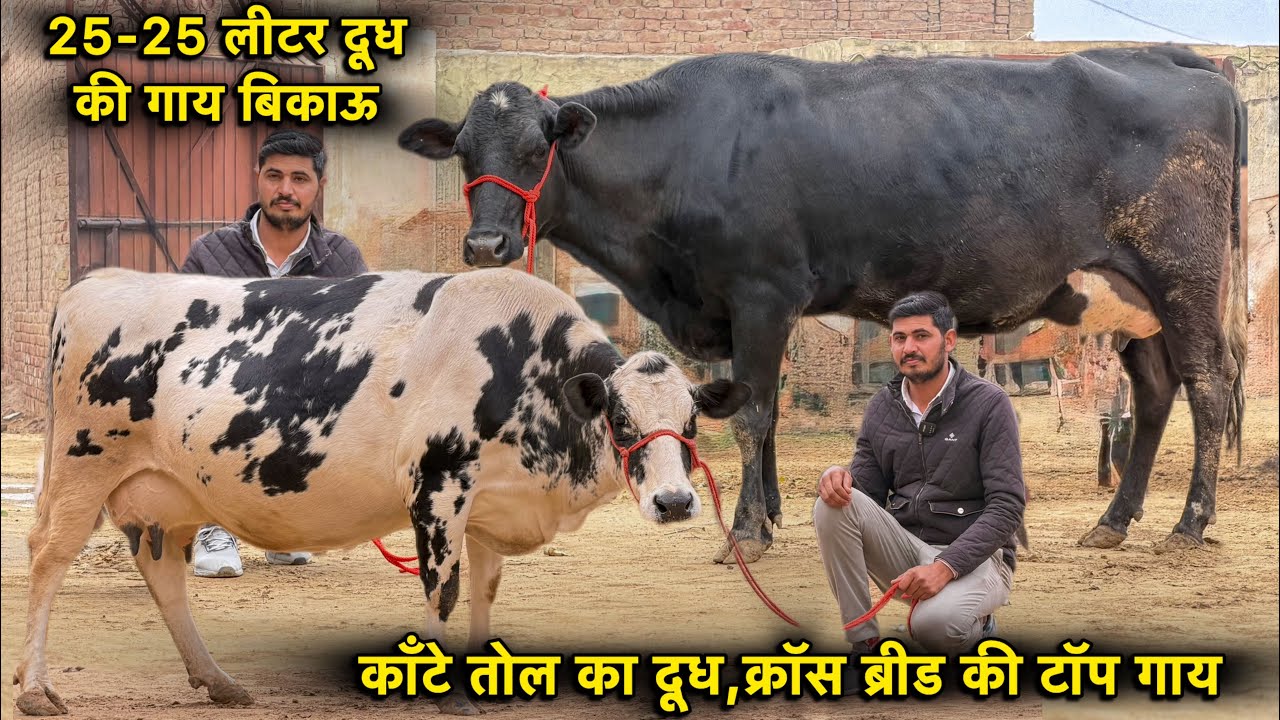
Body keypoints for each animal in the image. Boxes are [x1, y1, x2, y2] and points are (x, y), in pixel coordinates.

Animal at [15, 267, 750, 717]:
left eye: (690, 423)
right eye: (620, 419)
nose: (675, 502)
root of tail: (100, 282)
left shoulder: (488, 509)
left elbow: (483, 595)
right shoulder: (439, 488)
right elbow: (443, 592)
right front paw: (445, 692)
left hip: (166, 497)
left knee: (163, 574)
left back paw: (217, 681)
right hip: (83, 466)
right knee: (47, 559)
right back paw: (34, 688)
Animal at [398, 46, 1248, 563]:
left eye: (536, 148)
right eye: (465, 153)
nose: (485, 245)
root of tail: (1179, 62)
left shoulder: (762, 292)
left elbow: (751, 415)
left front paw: (745, 530)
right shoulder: (739, 309)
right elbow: (758, 409)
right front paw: (771, 515)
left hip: (1182, 275)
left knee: (1208, 386)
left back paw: (1190, 522)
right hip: (1131, 301)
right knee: (1156, 392)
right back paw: (1114, 522)